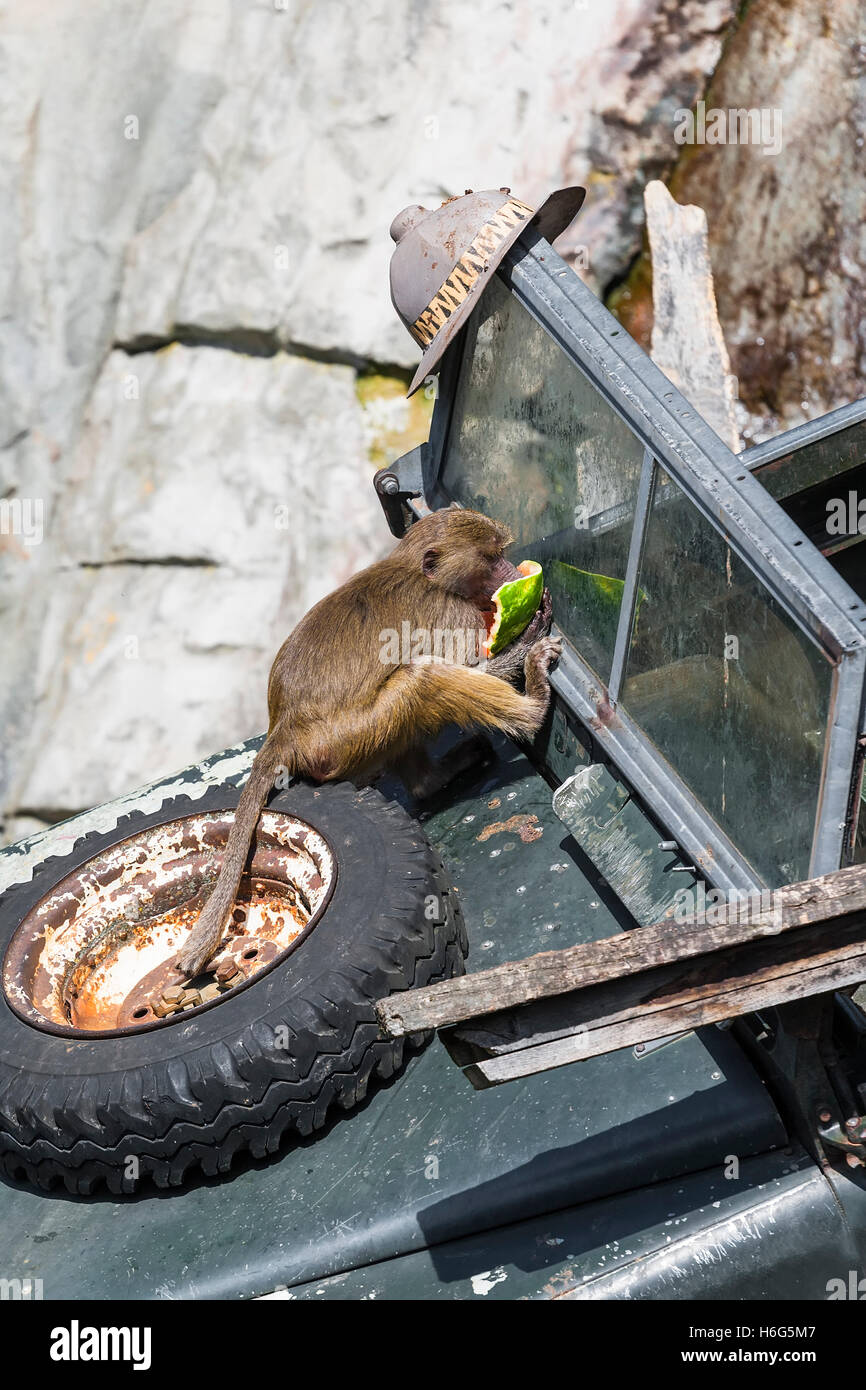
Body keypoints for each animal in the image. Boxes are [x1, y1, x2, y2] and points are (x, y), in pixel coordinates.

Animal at [174, 507, 561, 978]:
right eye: (491, 558)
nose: (512, 573)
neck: (424, 575)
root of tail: (285, 726)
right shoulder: (453, 615)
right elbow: (471, 666)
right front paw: (525, 642)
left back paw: (432, 779)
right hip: (349, 740)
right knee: (419, 677)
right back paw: (533, 706)